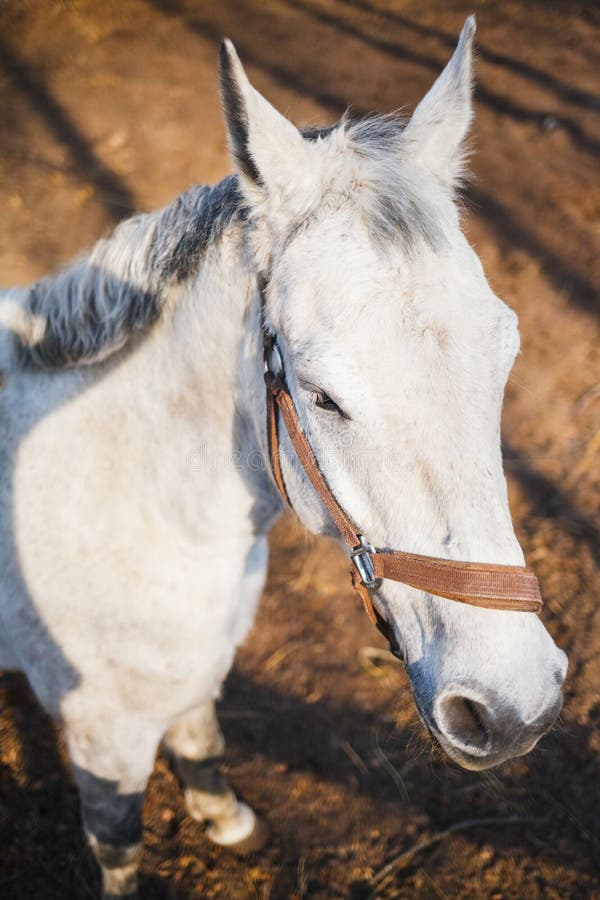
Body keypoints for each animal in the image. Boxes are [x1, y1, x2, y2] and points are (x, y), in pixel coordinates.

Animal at [0, 17, 566, 899]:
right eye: (323, 396)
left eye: (505, 352)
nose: (516, 707)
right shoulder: (102, 739)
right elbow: (118, 845)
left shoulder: (202, 669)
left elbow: (202, 738)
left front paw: (224, 815)